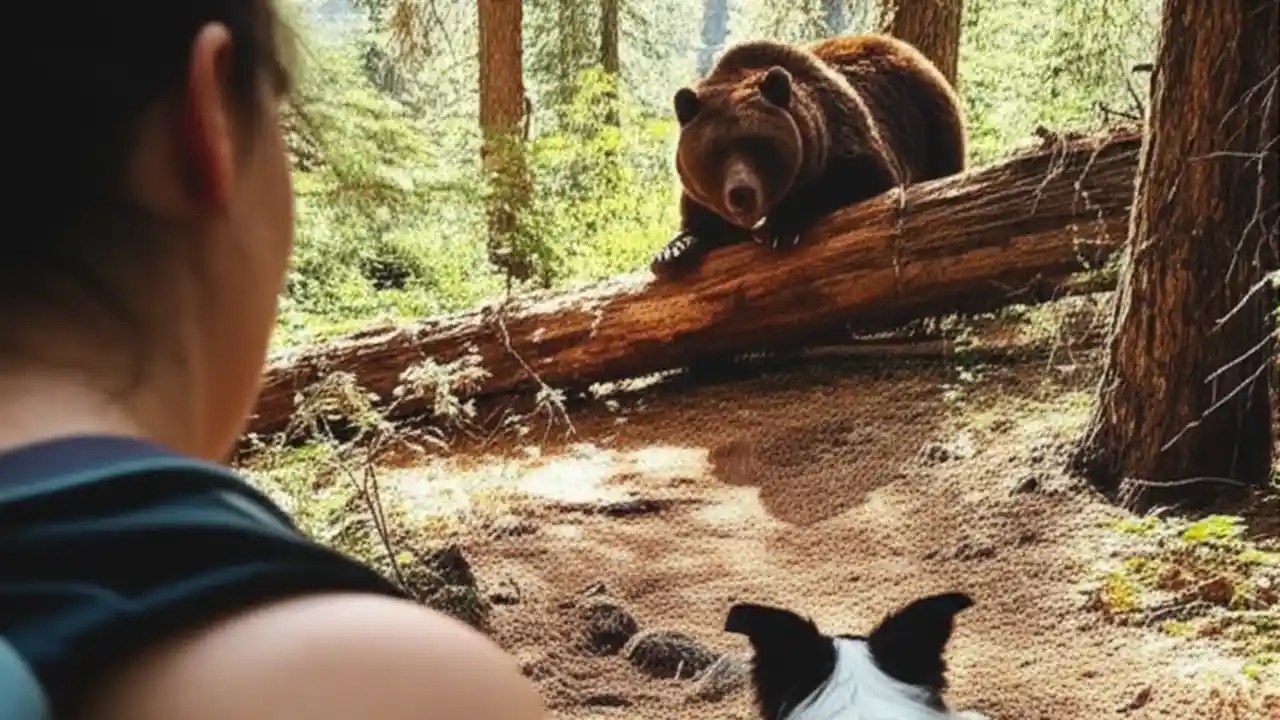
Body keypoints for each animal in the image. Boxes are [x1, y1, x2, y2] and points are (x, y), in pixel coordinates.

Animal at [650, 33, 967, 278]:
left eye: (759, 145)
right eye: (714, 152)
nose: (742, 193)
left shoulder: (846, 139)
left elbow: (862, 182)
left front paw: (780, 227)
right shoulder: (699, 196)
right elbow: (699, 222)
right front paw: (671, 252)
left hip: (931, 131)